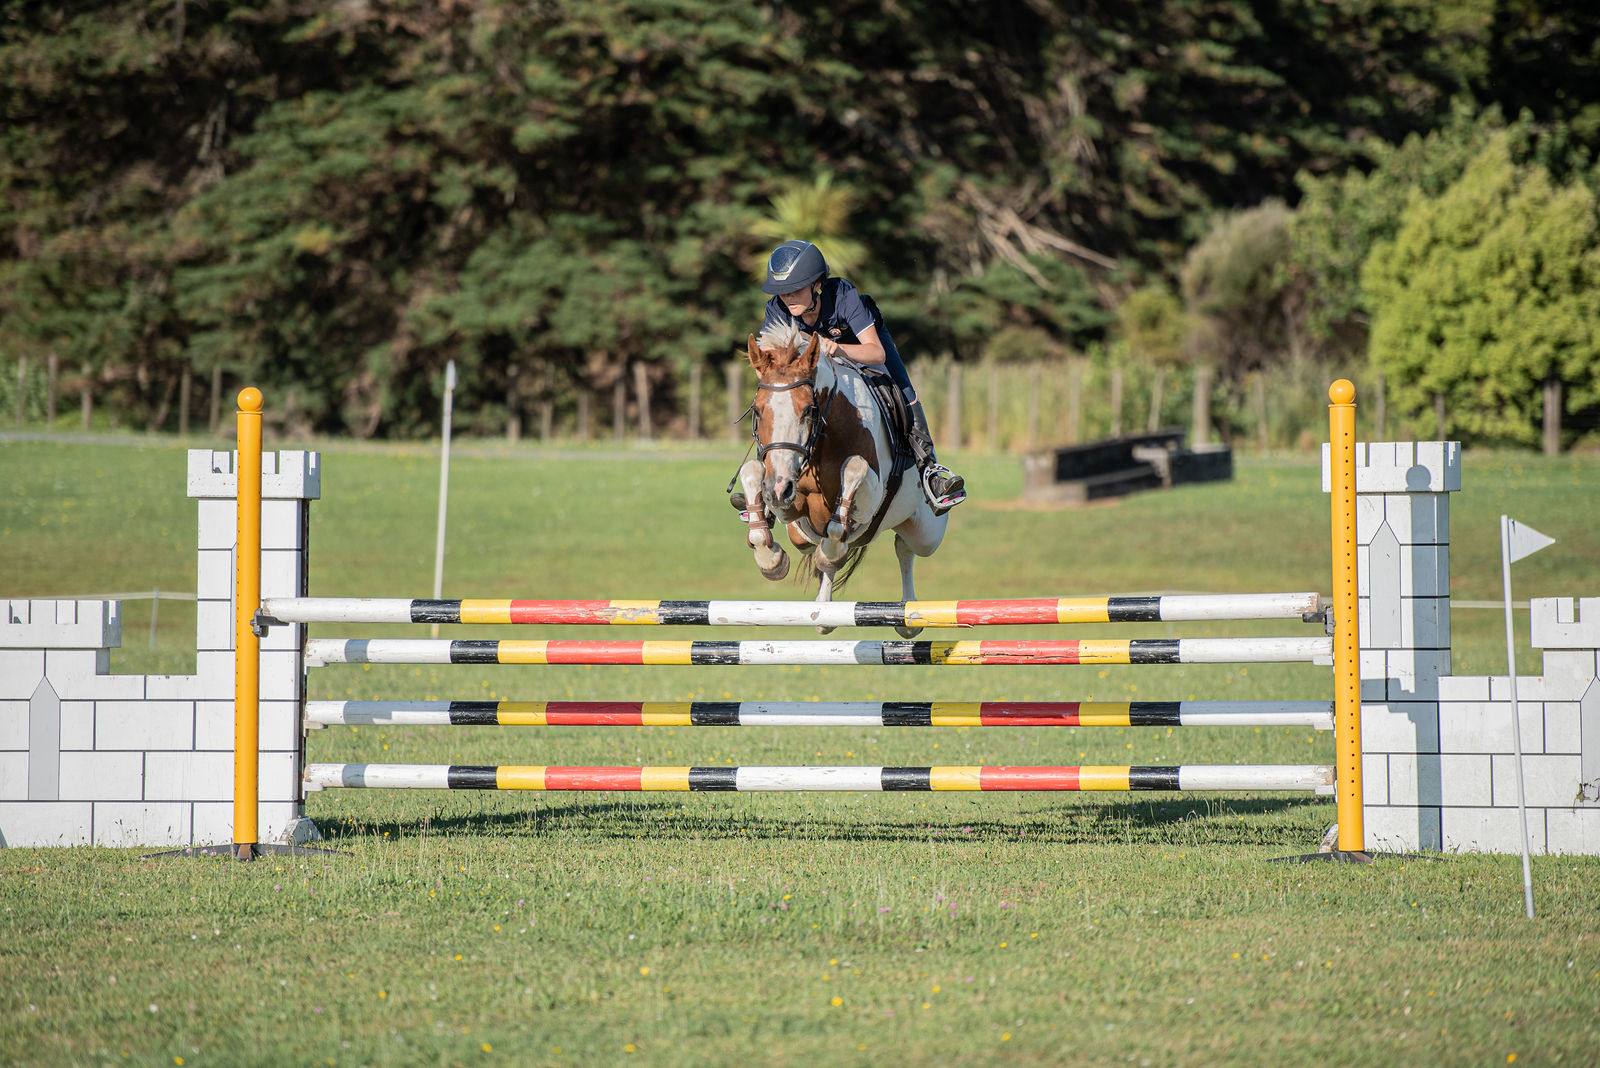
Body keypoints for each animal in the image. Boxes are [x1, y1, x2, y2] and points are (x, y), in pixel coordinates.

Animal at [736, 320, 947, 637]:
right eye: (757, 411)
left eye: (808, 411)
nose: (778, 490)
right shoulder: (788, 501)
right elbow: (751, 471)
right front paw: (771, 560)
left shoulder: (871, 498)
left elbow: (853, 470)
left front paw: (834, 546)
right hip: (800, 536)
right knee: (824, 556)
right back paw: (824, 610)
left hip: (928, 533)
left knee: (905, 547)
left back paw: (908, 617)